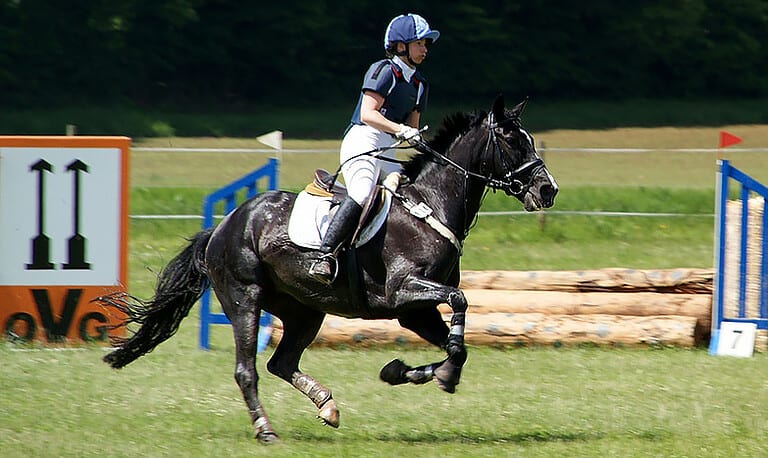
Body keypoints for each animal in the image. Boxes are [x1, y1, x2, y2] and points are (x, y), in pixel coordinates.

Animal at [96, 94, 558, 444]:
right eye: (513, 142)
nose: (547, 190)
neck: (430, 206)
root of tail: (224, 225)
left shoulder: (416, 310)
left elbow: (456, 346)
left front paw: (413, 373)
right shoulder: (404, 292)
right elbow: (460, 303)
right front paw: (432, 374)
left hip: (304, 311)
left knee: (281, 363)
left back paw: (328, 405)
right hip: (245, 299)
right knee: (247, 370)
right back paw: (266, 430)